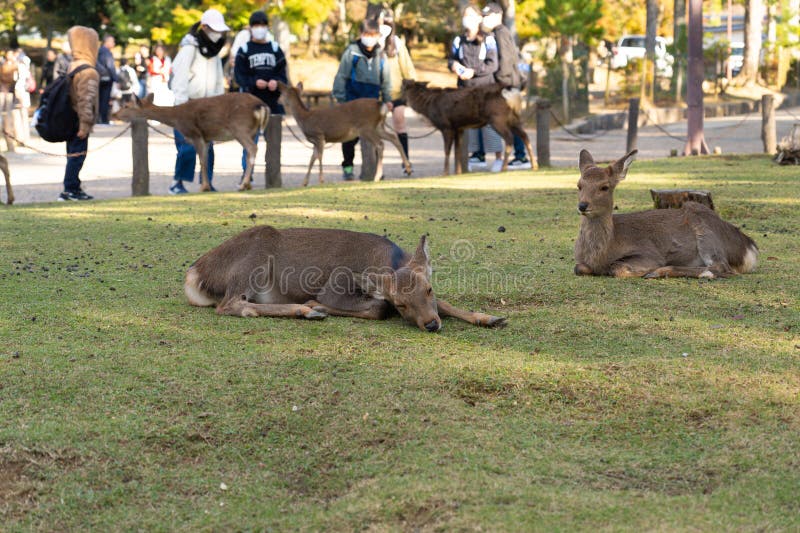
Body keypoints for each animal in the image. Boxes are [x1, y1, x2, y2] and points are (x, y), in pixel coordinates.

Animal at [115, 93, 269, 192]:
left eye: (126, 106)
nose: (114, 114)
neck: (177, 119)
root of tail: (261, 105)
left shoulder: (195, 134)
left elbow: (201, 161)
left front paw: (204, 187)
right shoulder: (207, 139)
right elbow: (205, 160)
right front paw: (207, 186)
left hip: (239, 127)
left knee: (252, 148)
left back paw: (244, 185)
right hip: (252, 131)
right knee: (252, 150)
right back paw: (247, 184)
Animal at [184, 225, 507, 332]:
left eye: (429, 289)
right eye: (400, 304)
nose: (430, 325)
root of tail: (195, 274)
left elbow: (447, 304)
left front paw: (490, 318)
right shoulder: (333, 288)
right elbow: (377, 307)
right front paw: (315, 304)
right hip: (253, 263)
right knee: (229, 305)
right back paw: (306, 310)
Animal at [277, 82, 412, 186]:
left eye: (281, 94)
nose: (278, 101)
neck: (305, 118)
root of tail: (381, 105)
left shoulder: (319, 135)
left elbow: (319, 157)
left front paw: (321, 180)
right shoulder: (315, 141)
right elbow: (312, 158)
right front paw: (304, 183)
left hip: (366, 127)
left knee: (380, 144)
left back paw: (377, 177)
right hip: (378, 126)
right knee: (394, 137)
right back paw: (408, 168)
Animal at [401, 80, 537, 175]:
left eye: (403, 85)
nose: (403, 80)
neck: (428, 107)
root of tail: (510, 91)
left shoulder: (446, 126)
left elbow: (447, 150)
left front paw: (445, 173)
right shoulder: (459, 128)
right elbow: (457, 150)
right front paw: (458, 172)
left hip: (497, 118)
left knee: (509, 138)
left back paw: (503, 168)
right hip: (514, 118)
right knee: (525, 136)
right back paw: (534, 165)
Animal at [574, 149, 759, 279]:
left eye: (604, 187)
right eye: (579, 185)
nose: (582, 205)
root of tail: (749, 247)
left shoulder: (649, 254)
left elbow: (617, 268)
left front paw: (646, 271)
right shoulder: (581, 263)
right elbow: (578, 267)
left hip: (708, 233)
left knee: (721, 266)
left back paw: (659, 272)